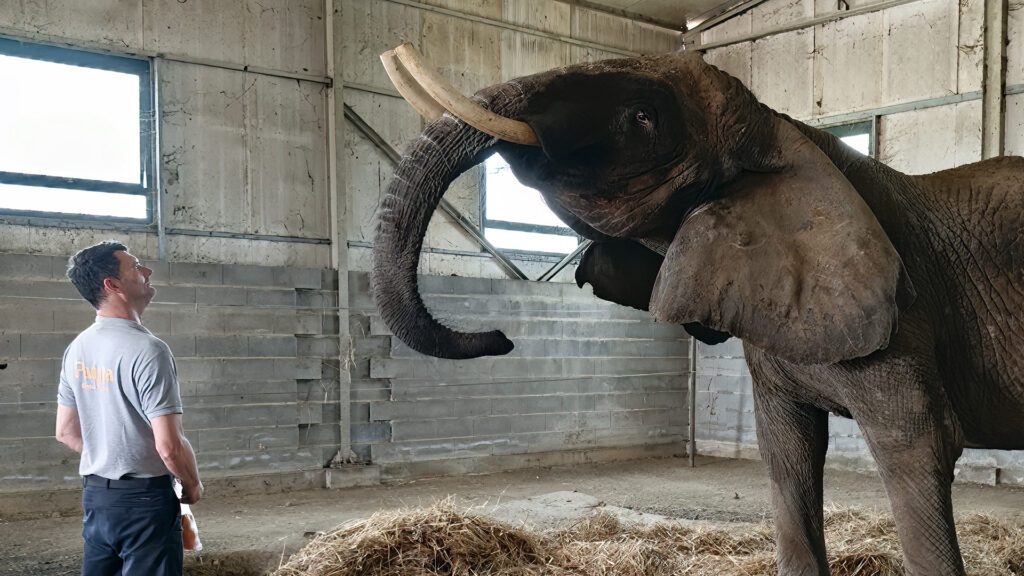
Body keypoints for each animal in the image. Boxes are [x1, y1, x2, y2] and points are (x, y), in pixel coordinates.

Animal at [370, 45, 1024, 576]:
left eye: (643, 117)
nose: (502, 337)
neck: (785, 131)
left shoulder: (905, 315)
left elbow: (916, 445)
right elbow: (786, 451)